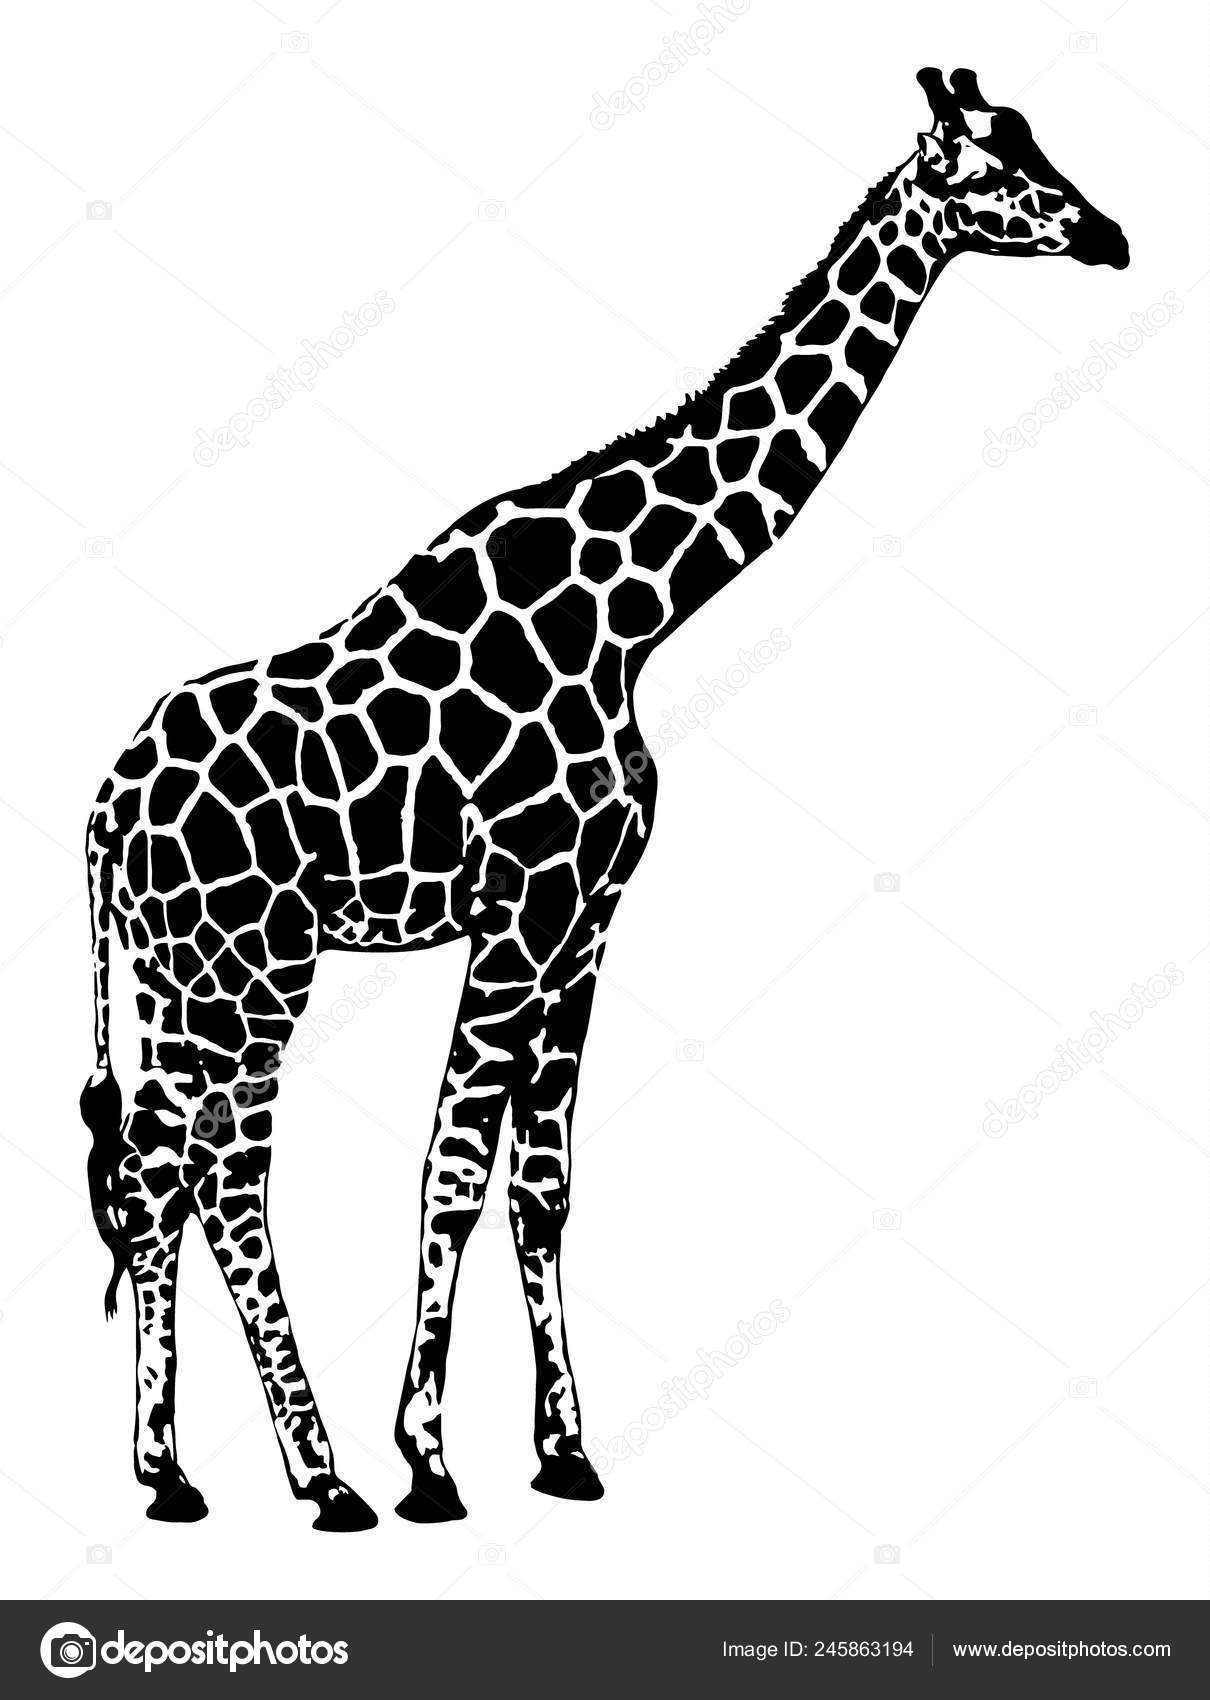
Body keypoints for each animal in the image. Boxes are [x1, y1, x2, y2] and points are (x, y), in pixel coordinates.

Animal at [81, 69, 1127, 1529]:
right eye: (982, 173)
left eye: (1036, 144)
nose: (1109, 237)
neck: (633, 616)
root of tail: (104, 805)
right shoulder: (519, 908)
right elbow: (452, 1169)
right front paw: (429, 1463)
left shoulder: (587, 918)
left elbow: (543, 1183)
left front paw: (564, 1452)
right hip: (248, 959)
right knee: (211, 1173)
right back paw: (300, 1477)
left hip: (186, 968)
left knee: (162, 1171)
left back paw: (197, 1470)